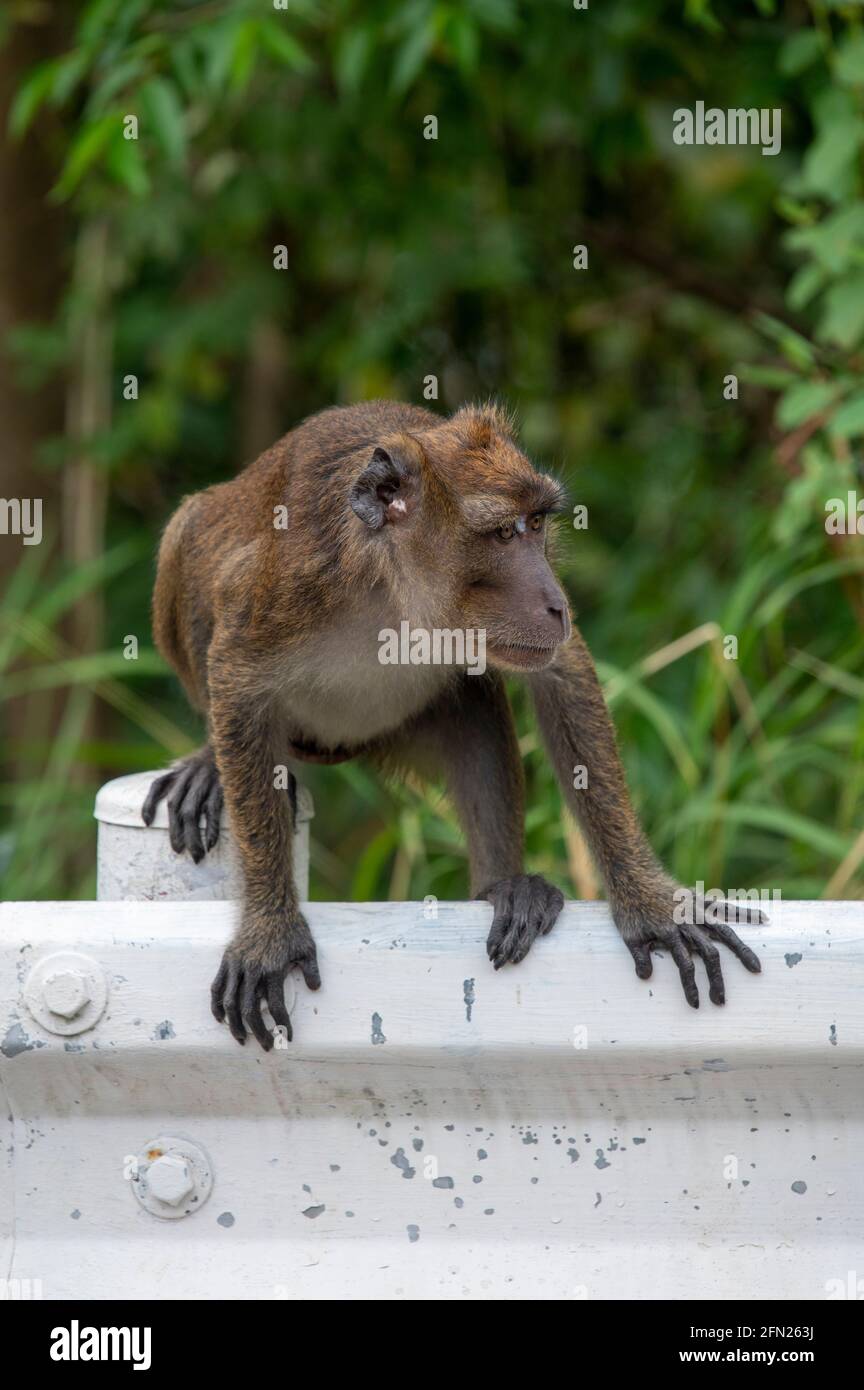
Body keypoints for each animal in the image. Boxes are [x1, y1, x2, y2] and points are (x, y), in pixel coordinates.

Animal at [143, 400, 763, 1050]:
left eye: (536, 524)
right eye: (503, 533)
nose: (556, 604)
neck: (389, 591)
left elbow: (561, 670)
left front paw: (650, 903)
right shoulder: (282, 588)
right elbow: (236, 678)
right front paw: (269, 932)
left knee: (476, 700)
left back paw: (503, 888)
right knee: (187, 530)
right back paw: (209, 764)